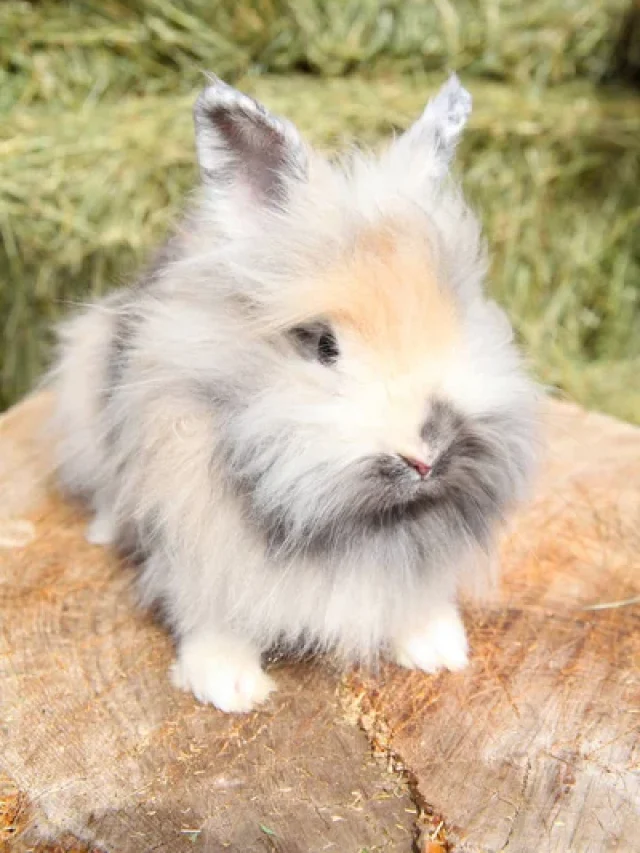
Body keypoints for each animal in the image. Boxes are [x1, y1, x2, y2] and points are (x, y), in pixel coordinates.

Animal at [49, 73, 538, 713]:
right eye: (323, 345)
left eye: (459, 319)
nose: (427, 454)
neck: (352, 526)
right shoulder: (196, 532)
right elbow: (210, 608)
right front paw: (228, 685)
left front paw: (437, 648)